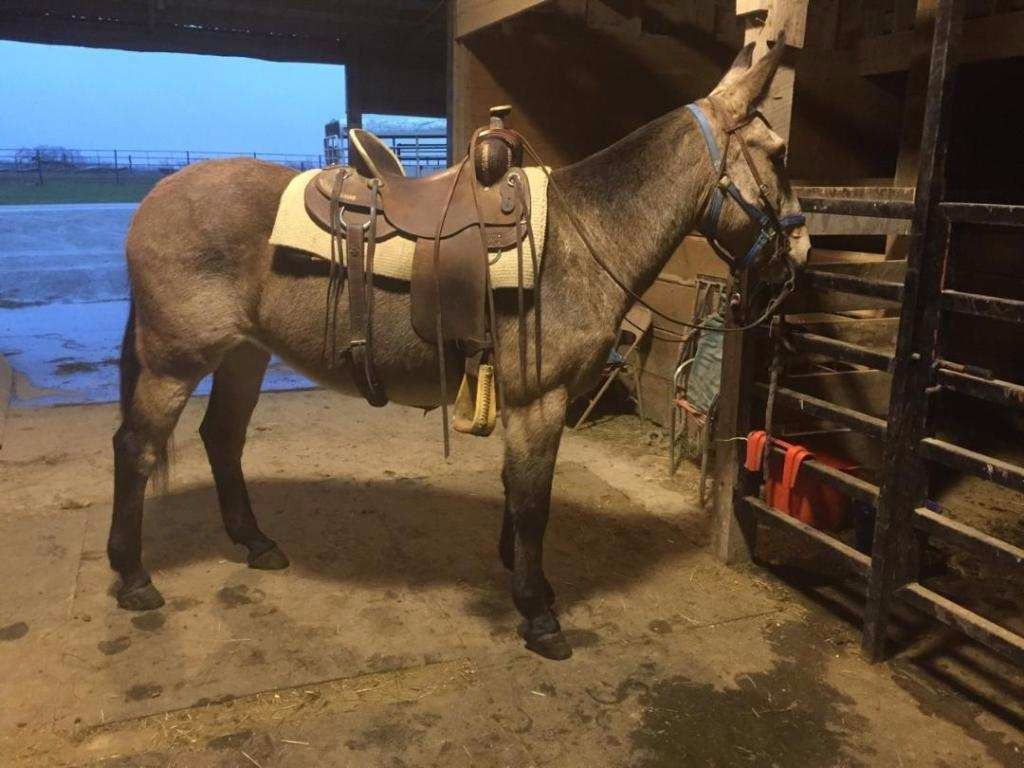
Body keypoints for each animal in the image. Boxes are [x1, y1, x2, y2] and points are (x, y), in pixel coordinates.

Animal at [107, 40, 809, 660]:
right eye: (777, 154)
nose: (798, 254)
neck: (584, 234)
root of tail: (152, 201)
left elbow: (516, 492)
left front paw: (527, 580)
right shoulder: (539, 400)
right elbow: (532, 503)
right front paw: (538, 613)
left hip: (243, 355)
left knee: (221, 439)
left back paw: (255, 544)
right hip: (174, 361)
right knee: (136, 449)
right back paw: (134, 577)